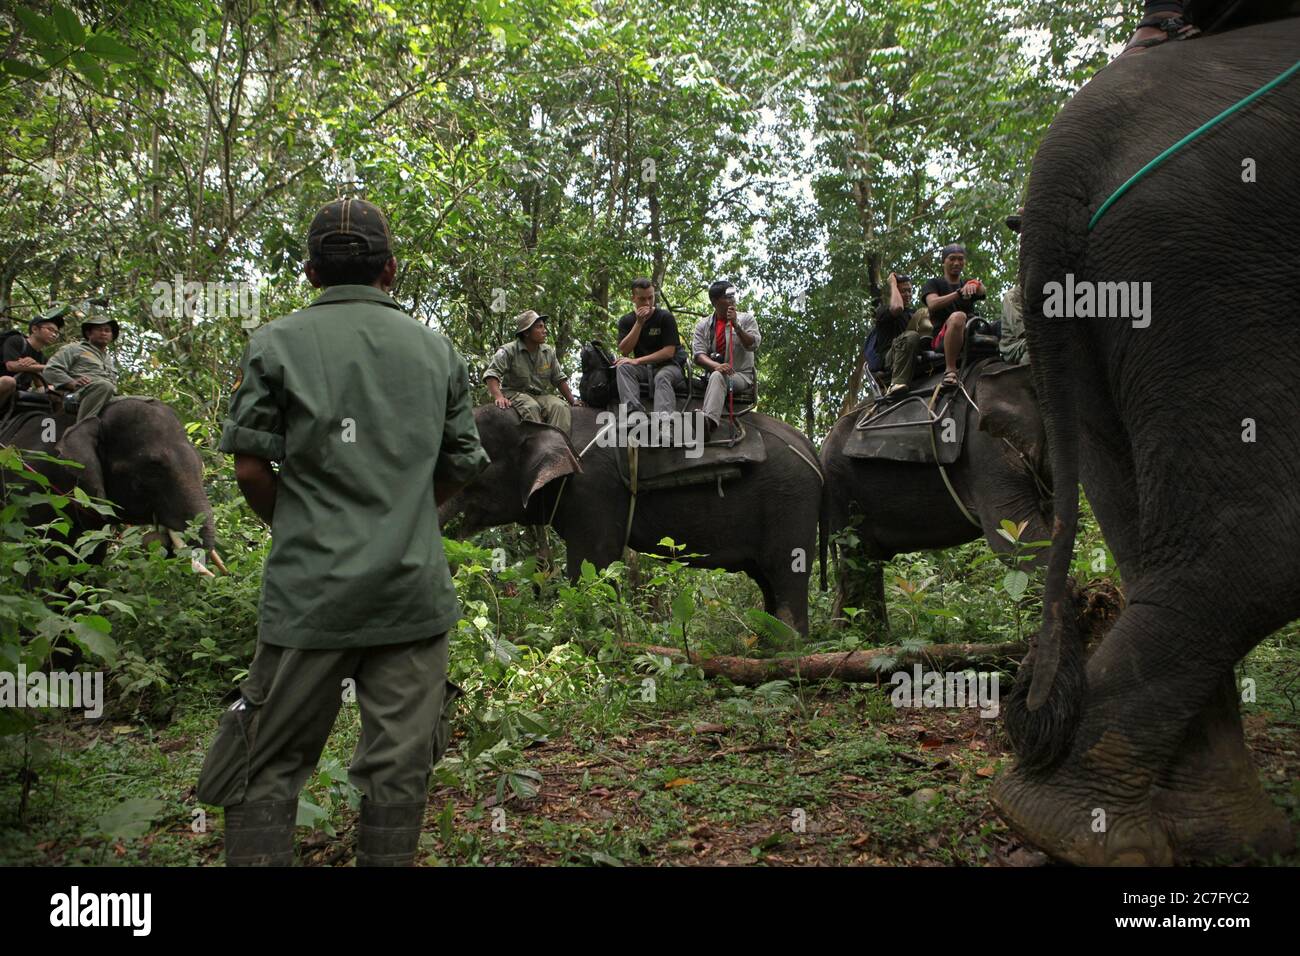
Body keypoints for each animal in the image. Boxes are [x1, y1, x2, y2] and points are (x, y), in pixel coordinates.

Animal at [438, 404, 823, 634]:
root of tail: (810, 447)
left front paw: (593, 639)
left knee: (786, 571)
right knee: (766, 579)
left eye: (473, 463)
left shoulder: (594, 490)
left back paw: (787, 650)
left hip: (791, 501)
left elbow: (593, 561)